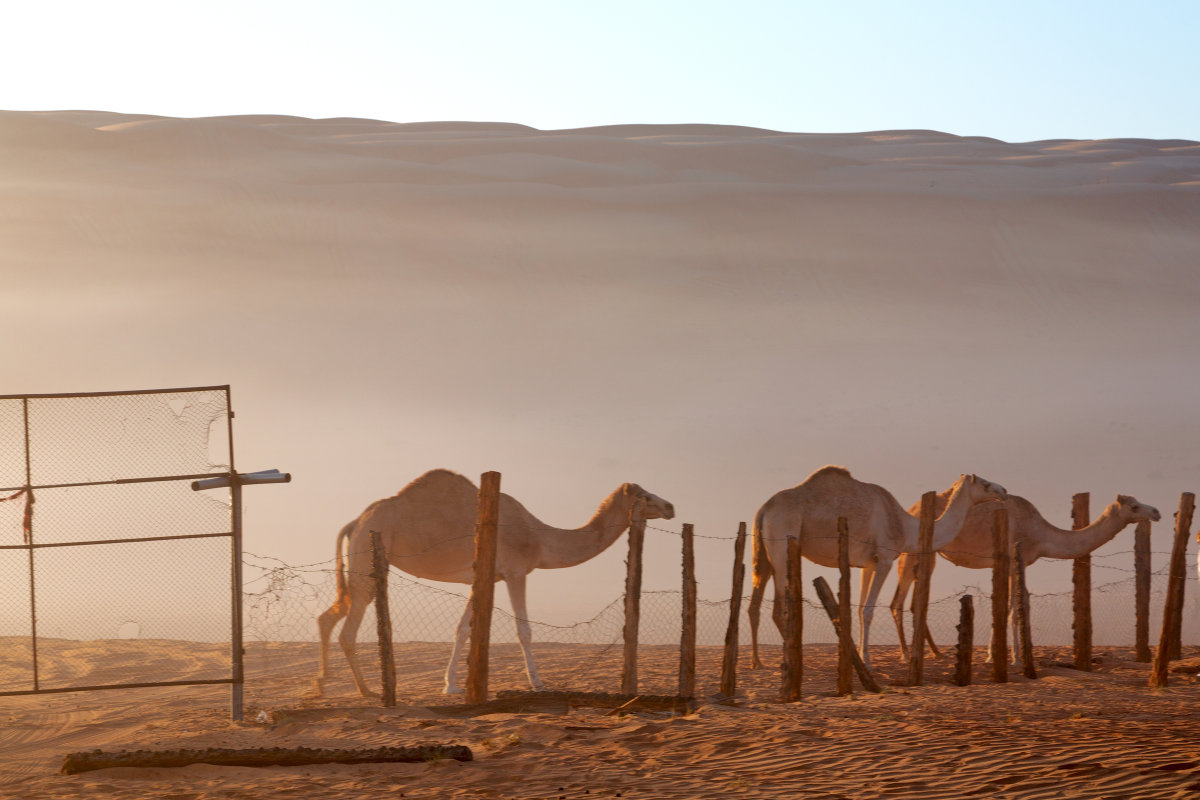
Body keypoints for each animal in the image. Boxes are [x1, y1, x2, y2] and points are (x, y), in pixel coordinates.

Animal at [315, 469, 675, 697]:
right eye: (644, 495)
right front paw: (538, 683)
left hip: (363, 564)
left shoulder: (482, 576)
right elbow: (524, 630)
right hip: (366, 560)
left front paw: (451, 684)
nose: (670, 505)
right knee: (347, 629)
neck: (539, 538)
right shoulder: (516, 572)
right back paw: (366, 690)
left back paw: (323, 682)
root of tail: (355, 521)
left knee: (328, 616)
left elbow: (462, 629)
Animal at [746, 466, 1007, 670]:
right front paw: (867, 660)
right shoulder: (884, 559)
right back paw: (792, 659)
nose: (1003, 491)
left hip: (766, 556)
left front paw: (861, 657)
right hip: (782, 546)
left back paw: (757, 662)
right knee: (779, 608)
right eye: (984, 483)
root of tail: (763, 509)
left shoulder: (867, 565)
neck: (905, 526)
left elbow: (860, 609)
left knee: (755, 605)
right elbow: (868, 611)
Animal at [889, 489, 1161, 662]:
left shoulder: (1015, 564)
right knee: (898, 602)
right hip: (913, 551)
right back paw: (906, 654)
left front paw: (1007, 654)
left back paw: (935, 653)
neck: (1041, 533)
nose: (1156, 512)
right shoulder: (1013, 559)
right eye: (1134, 506)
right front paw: (1010, 658)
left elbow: (1016, 605)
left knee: (915, 602)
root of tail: (912, 507)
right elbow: (1012, 608)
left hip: (929, 555)